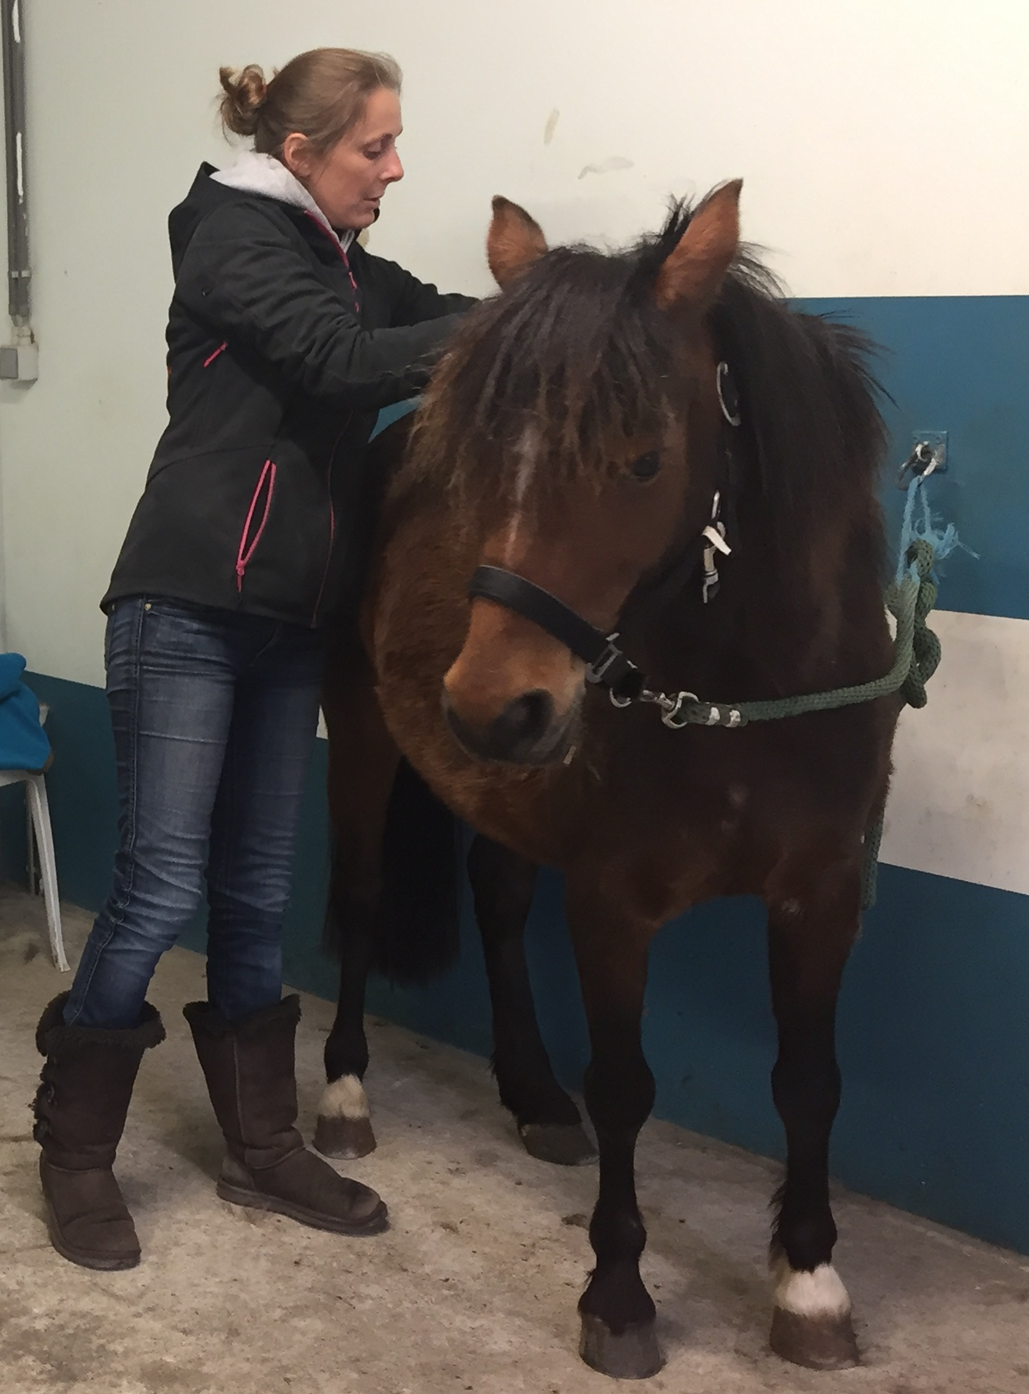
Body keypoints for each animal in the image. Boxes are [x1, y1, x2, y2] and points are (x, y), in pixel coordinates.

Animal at [314, 180, 899, 1378]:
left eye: (640, 460)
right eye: (480, 464)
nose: (492, 704)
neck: (744, 694)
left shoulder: (821, 896)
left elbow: (809, 1082)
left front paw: (811, 1281)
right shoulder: (612, 903)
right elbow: (627, 1085)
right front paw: (620, 1296)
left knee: (496, 900)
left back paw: (532, 1093)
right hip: (362, 738)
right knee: (358, 903)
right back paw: (344, 1095)